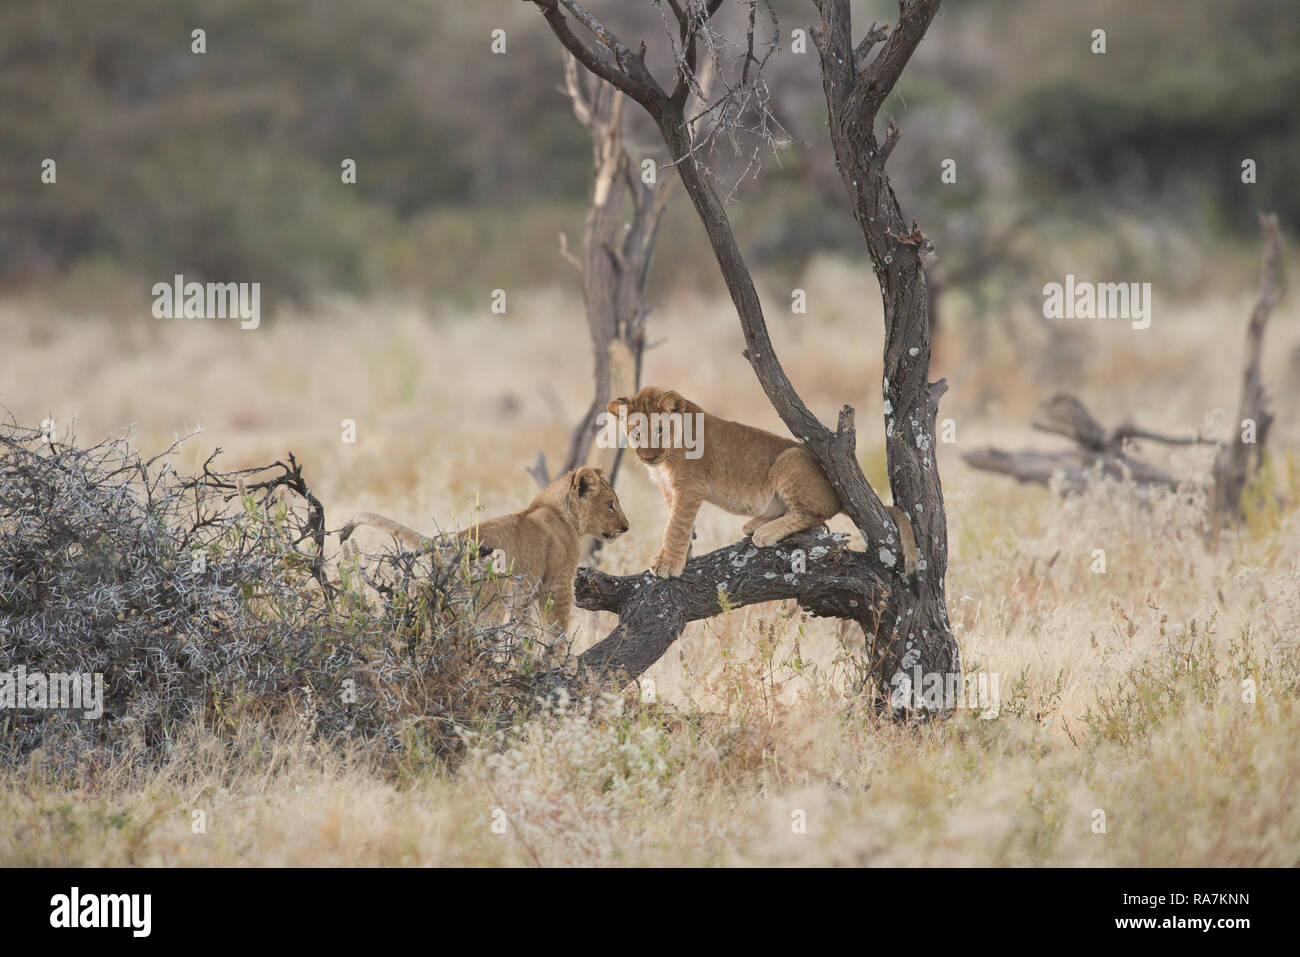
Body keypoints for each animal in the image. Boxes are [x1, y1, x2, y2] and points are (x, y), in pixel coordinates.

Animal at [339, 466, 628, 630]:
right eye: (610, 504)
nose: (626, 527)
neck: (560, 513)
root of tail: (446, 544)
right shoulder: (555, 586)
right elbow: (556, 632)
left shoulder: (522, 599)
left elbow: (524, 633)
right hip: (488, 603)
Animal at [606, 386, 916, 578]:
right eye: (635, 433)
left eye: (659, 430)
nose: (647, 457)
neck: (666, 459)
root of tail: (838, 492)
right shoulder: (668, 487)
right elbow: (677, 523)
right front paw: (684, 554)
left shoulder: (690, 486)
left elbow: (676, 526)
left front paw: (667, 564)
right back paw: (754, 524)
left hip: (791, 459)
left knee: (815, 514)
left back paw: (766, 532)